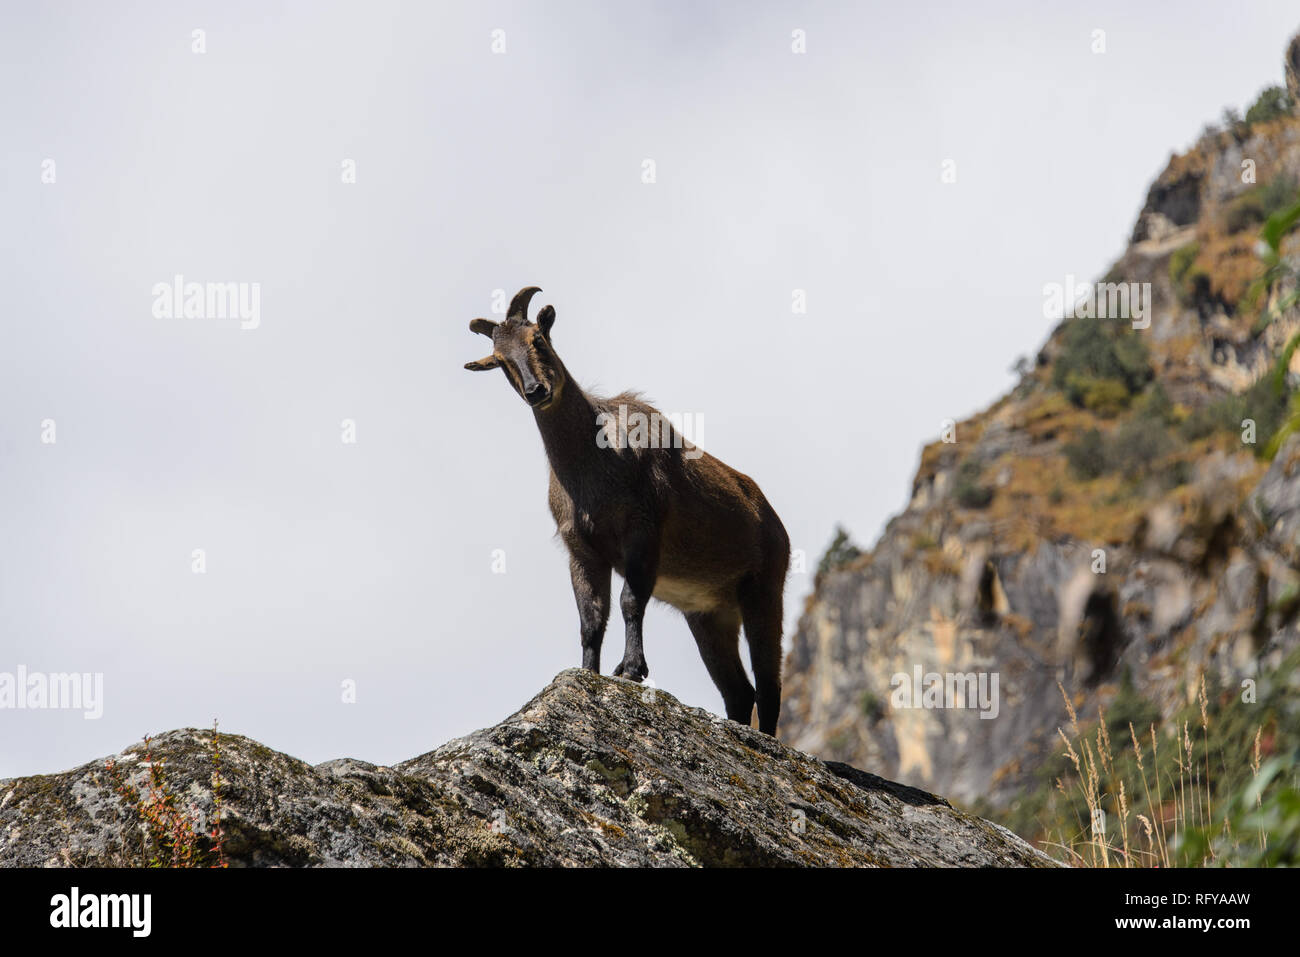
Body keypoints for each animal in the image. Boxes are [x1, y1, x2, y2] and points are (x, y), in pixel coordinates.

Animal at [464, 286, 790, 734]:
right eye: (500, 360)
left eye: (538, 339)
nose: (536, 390)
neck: (593, 462)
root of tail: (772, 519)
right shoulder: (583, 551)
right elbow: (590, 621)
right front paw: (589, 673)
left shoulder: (642, 531)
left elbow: (630, 601)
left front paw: (632, 669)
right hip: (709, 613)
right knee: (739, 692)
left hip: (763, 586)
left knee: (769, 684)